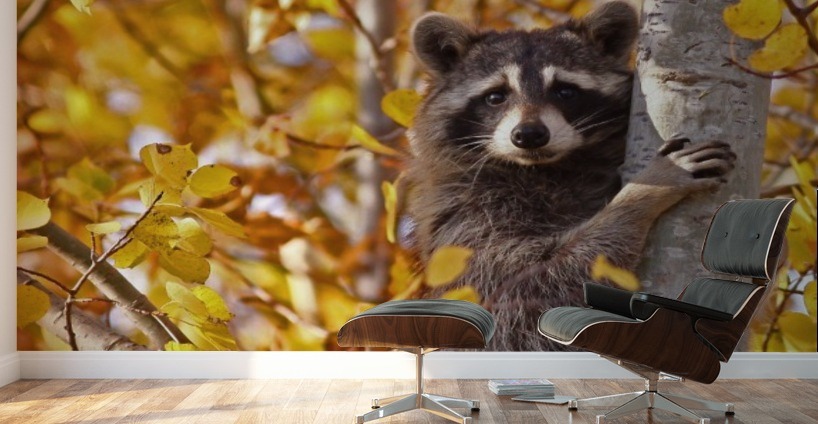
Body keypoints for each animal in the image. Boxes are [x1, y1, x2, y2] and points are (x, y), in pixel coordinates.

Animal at [406, 1, 737, 351]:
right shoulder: (465, 219)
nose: (529, 134)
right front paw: (644, 192)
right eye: (496, 96)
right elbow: (529, 288)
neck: (545, 169)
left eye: (565, 91)